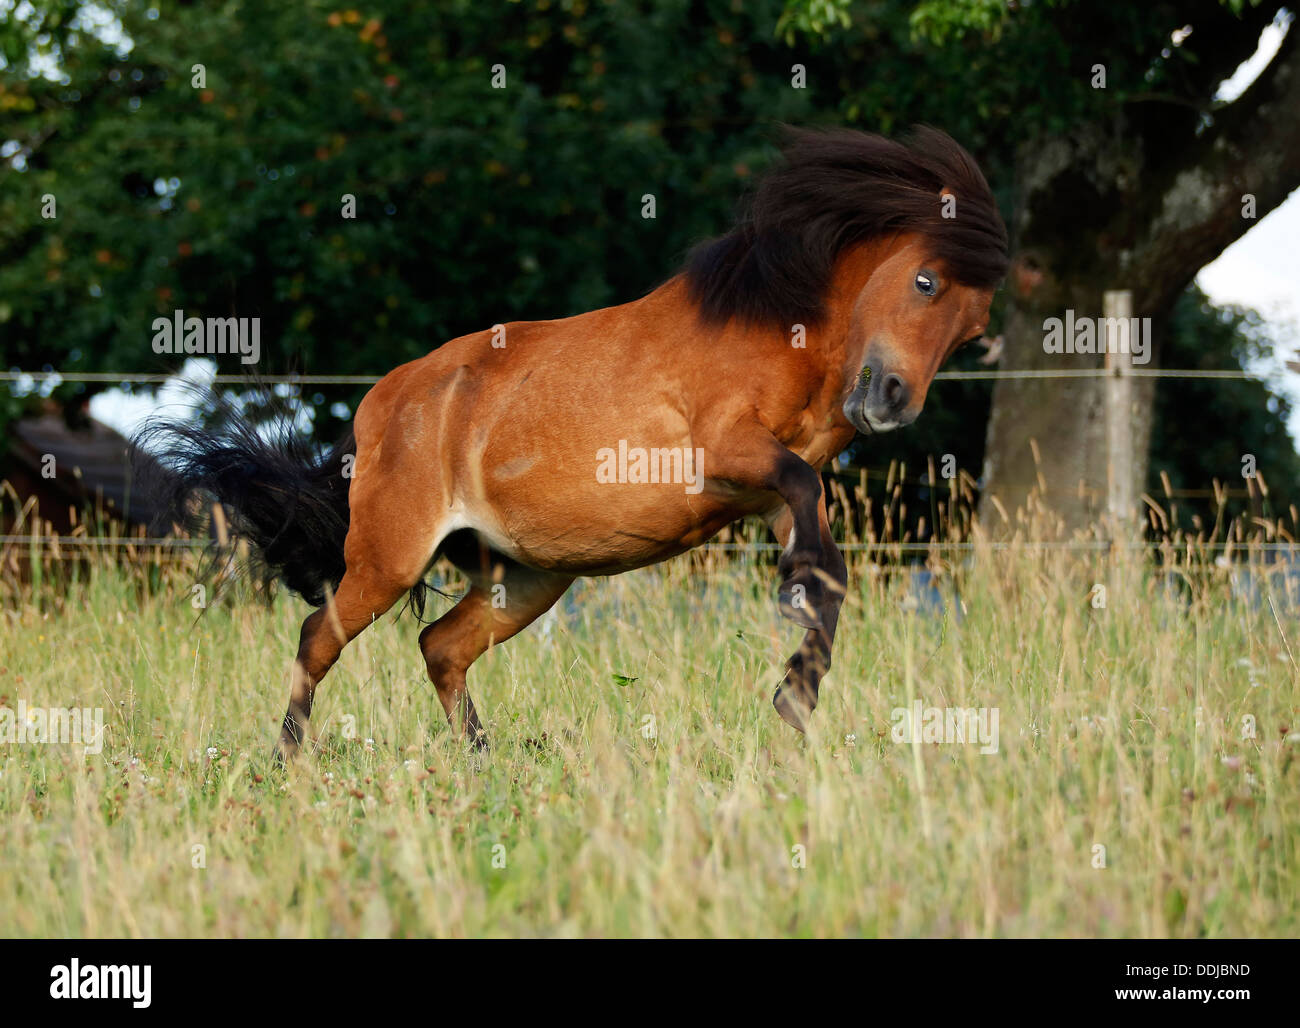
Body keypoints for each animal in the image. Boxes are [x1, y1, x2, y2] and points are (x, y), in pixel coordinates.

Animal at [141, 125, 1008, 760]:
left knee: (440, 647)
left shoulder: (768, 499)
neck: (768, 323)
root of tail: (379, 408)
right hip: (388, 561)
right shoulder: (728, 457)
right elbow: (811, 515)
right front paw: (794, 683)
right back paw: (291, 758)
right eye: (925, 280)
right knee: (319, 636)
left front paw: (796, 692)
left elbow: (828, 568)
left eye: (973, 331)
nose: (891, 402)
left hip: (526, 577)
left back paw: (482, 763)